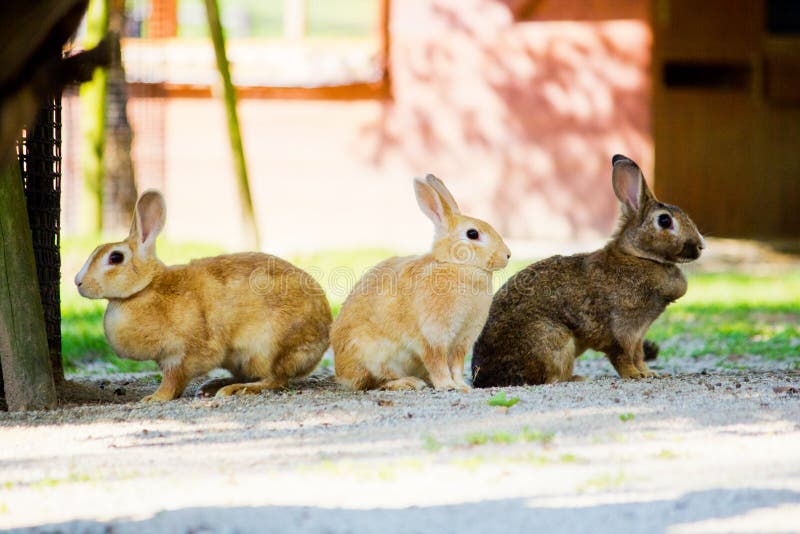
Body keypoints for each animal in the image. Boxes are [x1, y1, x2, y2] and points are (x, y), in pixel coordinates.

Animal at [74, 189, 332, 402]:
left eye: (115, 258)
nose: (78, 282)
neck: (145, 288)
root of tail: (324, 334)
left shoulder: (181, 354)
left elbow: (173, 380)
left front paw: (153, 398)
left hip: (266, 347)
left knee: (275, 379)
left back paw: (234, 390)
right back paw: (213, 386)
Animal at [332, 174, 511, 392]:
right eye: (472, 234)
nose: (507, 255)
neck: (456, 265)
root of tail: (342, 373)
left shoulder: (462, 341)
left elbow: (456, 366)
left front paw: (462, 386)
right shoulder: (433, 336)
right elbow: (437, 363)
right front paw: (447, 386)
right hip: (371, 355)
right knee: (375, 381)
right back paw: (409, 382)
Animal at [471, 154, 704, 387]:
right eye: (665, 220)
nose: (701, 245)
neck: (639, 256)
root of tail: (482, 378)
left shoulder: (639, 333)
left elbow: (638, 355)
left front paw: (649, 373)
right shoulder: (622, 329)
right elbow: (622, 356)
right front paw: (634, 375)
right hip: (553, 340)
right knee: (550, 377)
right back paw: (578, 377)